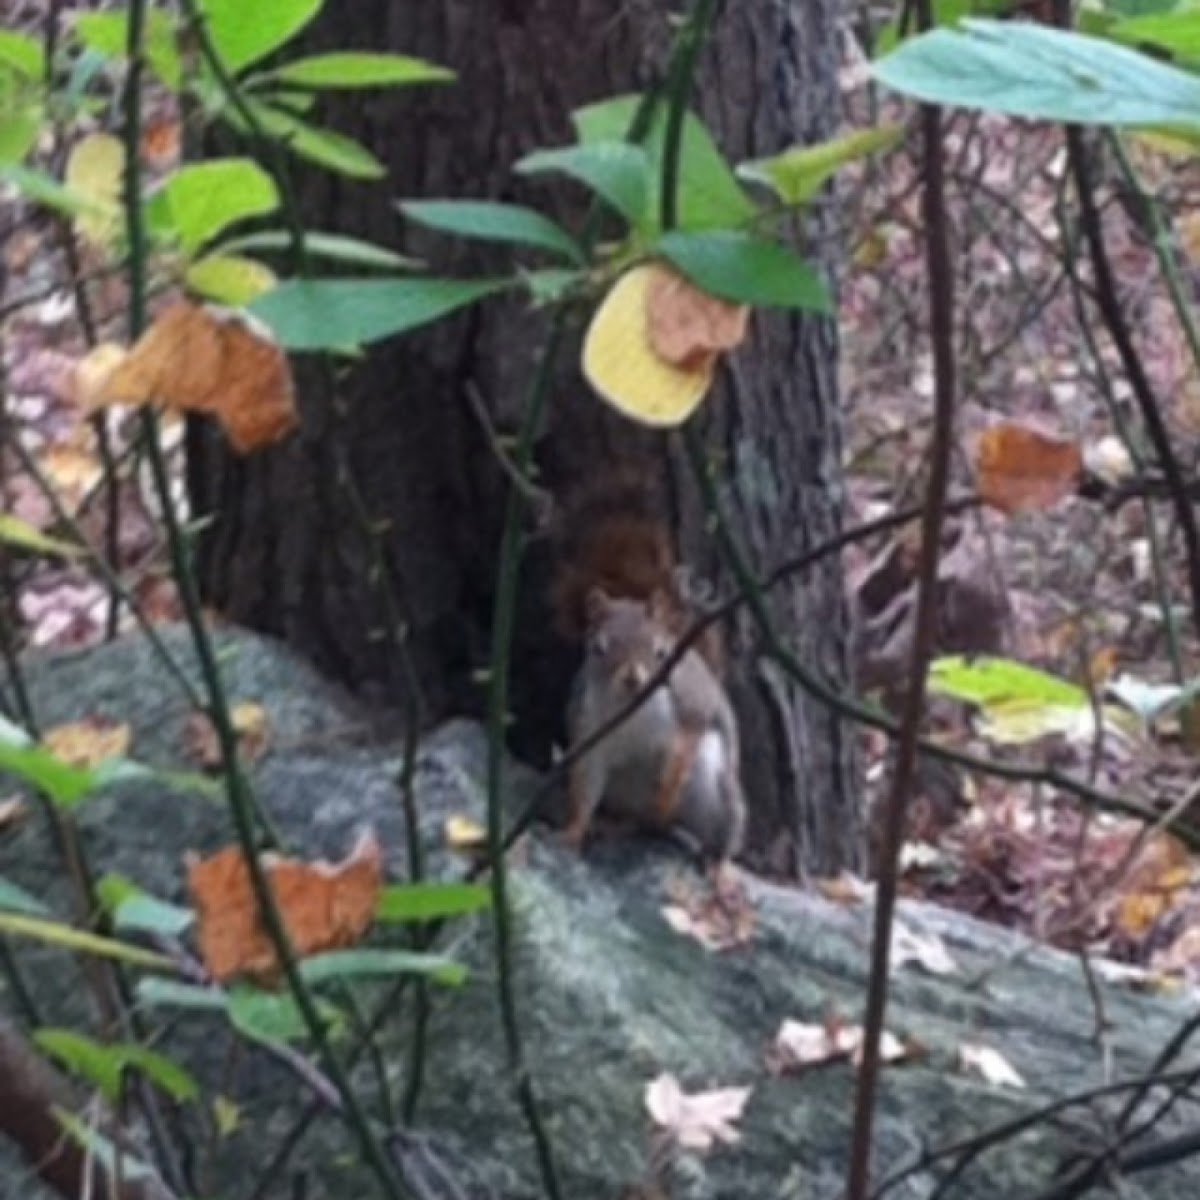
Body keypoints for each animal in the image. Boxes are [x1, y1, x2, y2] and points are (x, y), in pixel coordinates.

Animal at [551, 473, 746, 863]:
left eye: (661, 652)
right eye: (598, 649)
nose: (633, 679)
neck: (632, 706)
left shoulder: (692, 702)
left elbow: (689, 737)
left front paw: (668, 786)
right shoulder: (589, 728)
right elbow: (585, 784)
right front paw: (572, 831)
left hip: (716, 793)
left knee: (718, 836)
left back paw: (717, 864)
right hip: (622, 794)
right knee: (640, 822)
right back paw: (618, 826)